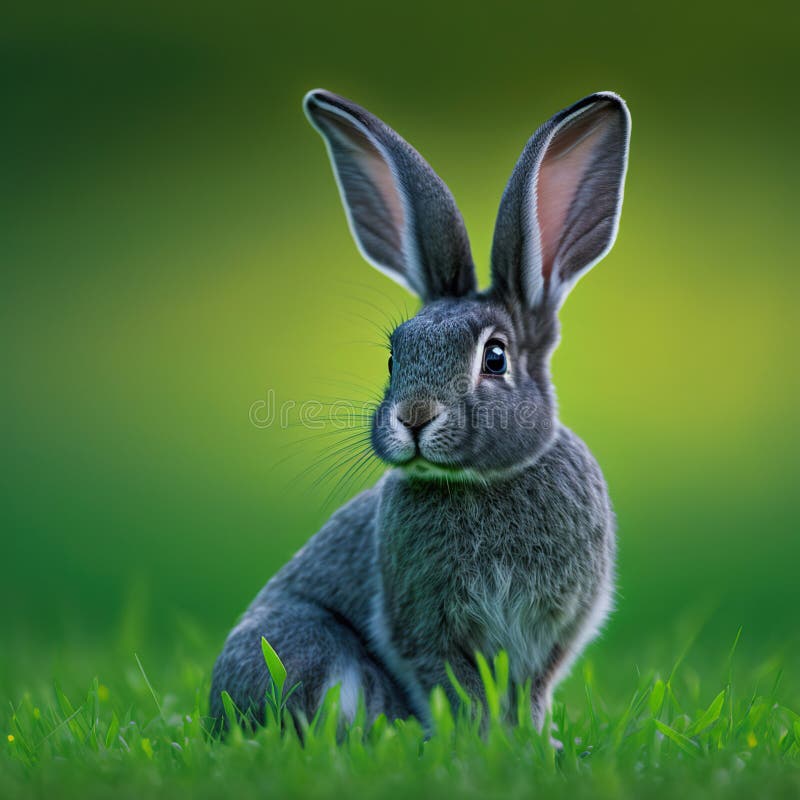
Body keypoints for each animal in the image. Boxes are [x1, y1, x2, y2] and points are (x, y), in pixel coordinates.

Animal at [209, 88, 630, 733]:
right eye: (392, 357)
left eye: (496, 358)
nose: (412, 417)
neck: (482, 482)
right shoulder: (425, 631)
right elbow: (459, 688)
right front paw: (486, 741)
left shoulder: (550, 634)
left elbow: (530, 690)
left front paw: (532, 742)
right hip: (302, 644)